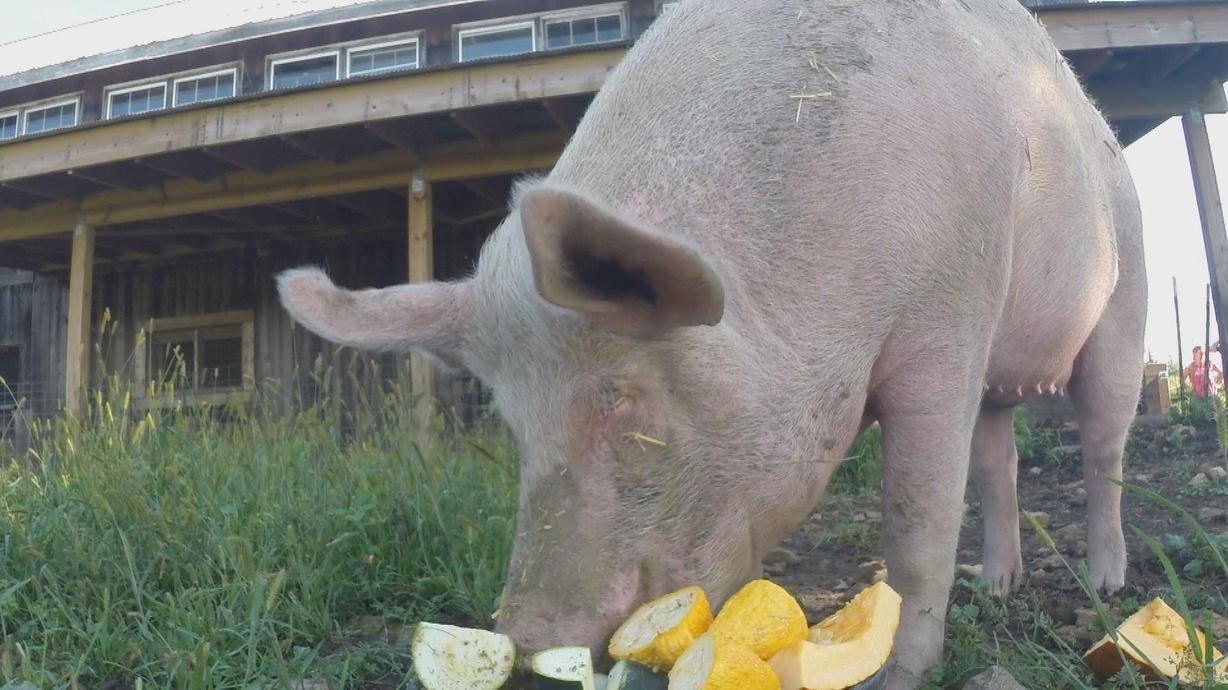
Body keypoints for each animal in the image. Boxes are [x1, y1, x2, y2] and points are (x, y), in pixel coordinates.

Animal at [277, 0, 1145, 686]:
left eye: (621, 397)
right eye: (513, 424)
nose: (528, 643)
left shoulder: (947, 317)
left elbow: (917, 514)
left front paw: (900, 675)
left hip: (1122, 300)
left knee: (1103, 448)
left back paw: (1108, 586)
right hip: (1007, 377)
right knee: (1002, 459)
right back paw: (997, 584)